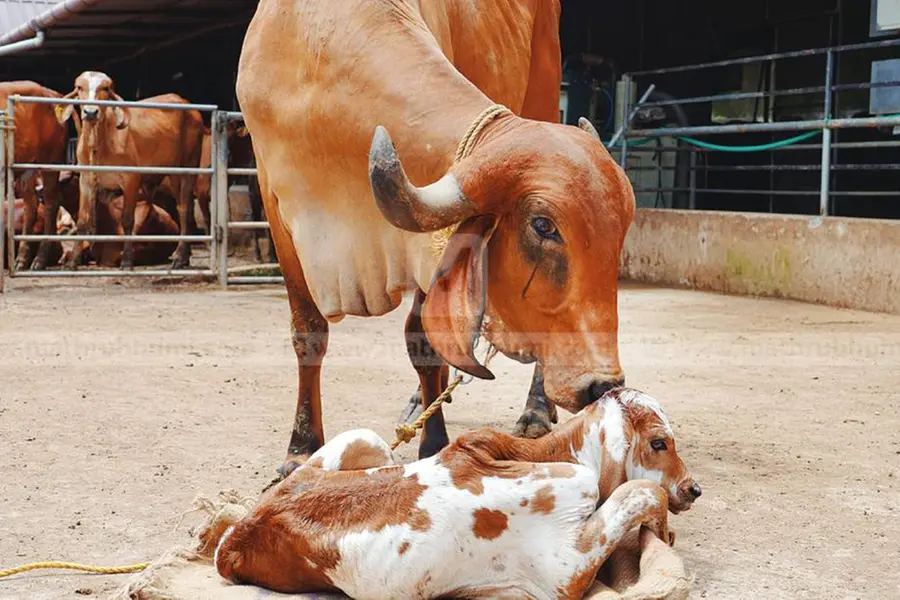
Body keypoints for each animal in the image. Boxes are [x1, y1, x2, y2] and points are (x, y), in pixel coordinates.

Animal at [0, 81, 68, 271]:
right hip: (26, 168)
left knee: (51, 202)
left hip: (50, 160)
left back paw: (39, 260)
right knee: (30, 204)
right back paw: (21, 260)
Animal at [55, 71, 204, 270]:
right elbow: (82, 220)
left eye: (106, 88)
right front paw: (73, 261)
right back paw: (185, 255)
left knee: (184, 208)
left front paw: (127, 260)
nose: (91, 112)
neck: (101, 143)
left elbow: (127, 220)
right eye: (79, 87)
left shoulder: (130, 179)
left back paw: (180, 256)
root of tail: (187, 104)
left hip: (187, 167)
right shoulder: (85, 179)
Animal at [214, 388, 700, 597]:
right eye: (660, 442)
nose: (694, 488)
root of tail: (238, 536)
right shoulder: (563, 572)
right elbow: (643, 493)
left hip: (364, 441)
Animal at [237, 0, 636, 476]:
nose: (602, 385)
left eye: (620, 234)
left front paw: (433, 442)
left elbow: (422, 339)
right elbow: (308, 333)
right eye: (543, 226)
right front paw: (300, 448)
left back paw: (535, 410)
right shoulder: (275, 203)